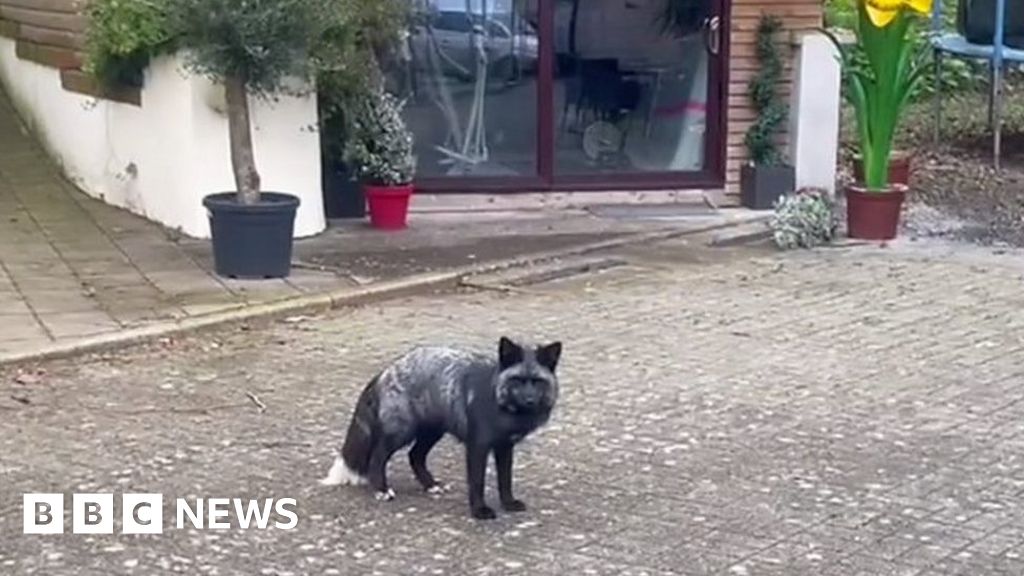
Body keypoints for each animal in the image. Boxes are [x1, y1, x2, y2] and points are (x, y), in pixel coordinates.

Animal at [320, 336, 562, 520]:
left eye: (537, 382)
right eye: (518, 380)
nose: (530, 400)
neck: (499, 400)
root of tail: (385, 372)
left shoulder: (504, 446)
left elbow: (505, 480)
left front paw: (509, 503)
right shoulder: (478, 446)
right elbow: (477, 482)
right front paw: (479, 511)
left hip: (432, 432)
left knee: (415, 456)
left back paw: (431, 485)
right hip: (402, 432)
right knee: (377, 457)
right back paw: (381, 490)